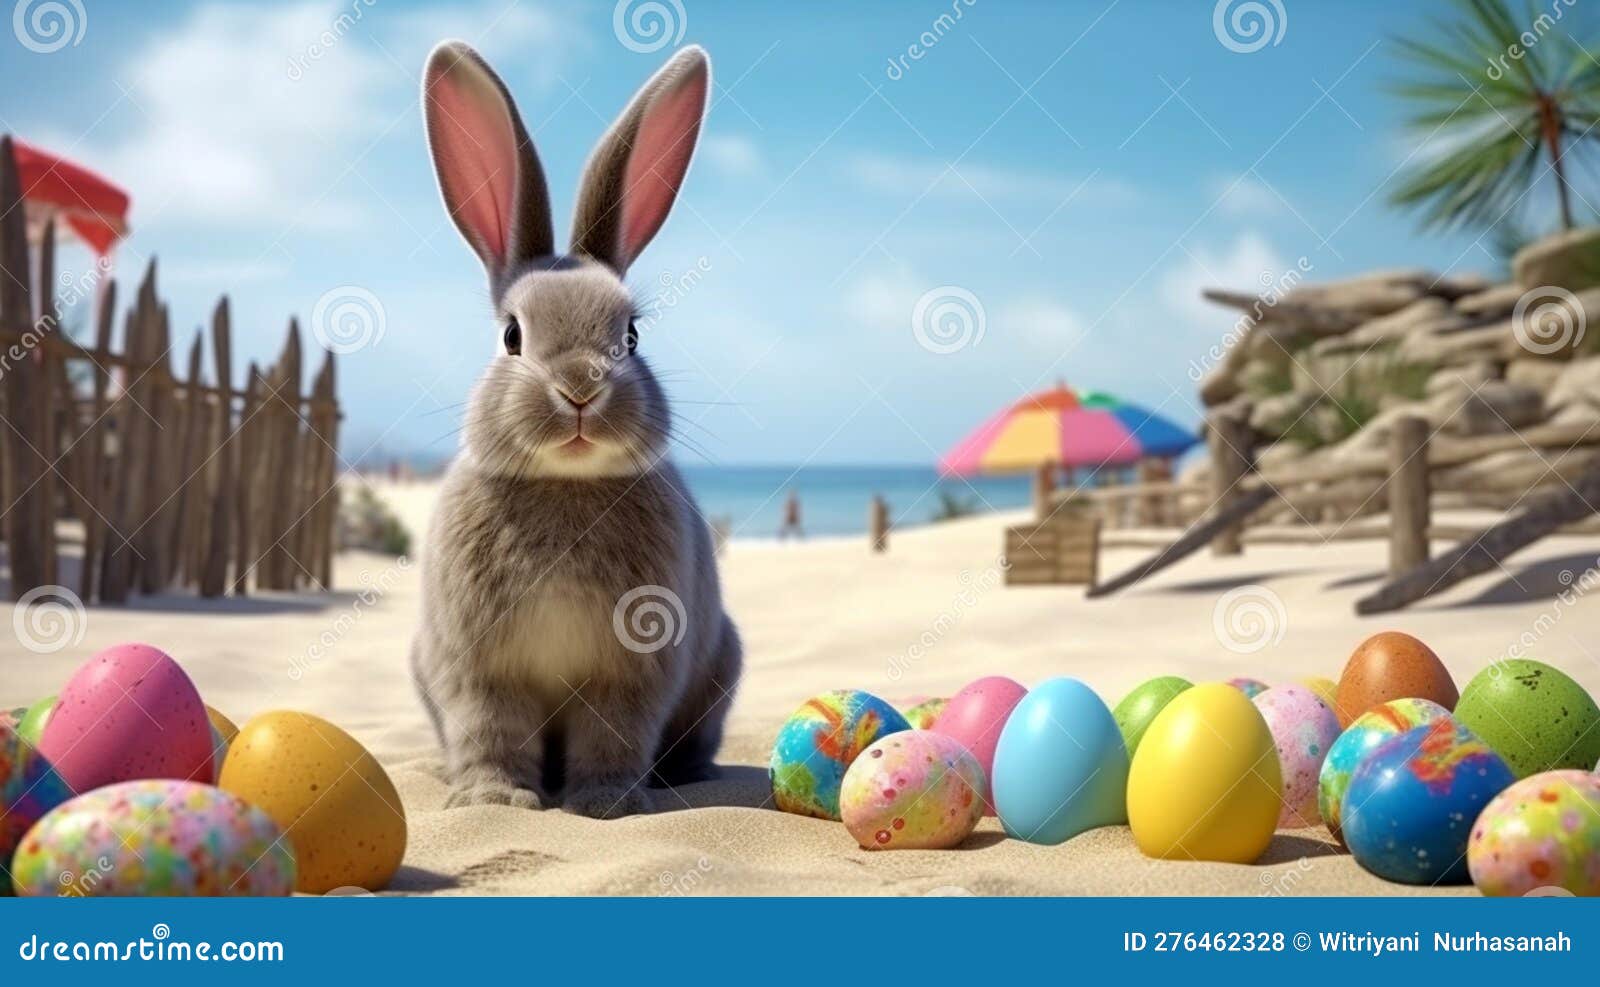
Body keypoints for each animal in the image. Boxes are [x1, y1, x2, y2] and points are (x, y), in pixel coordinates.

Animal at [410, 40, 741, 818]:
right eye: (511, 335)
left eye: (632, 334)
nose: (581, 390)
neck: (566, 483)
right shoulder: (481, 672)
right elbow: (491, 729)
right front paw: (497, 801)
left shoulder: (628, 674)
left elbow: (612, 733)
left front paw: (604, 804)